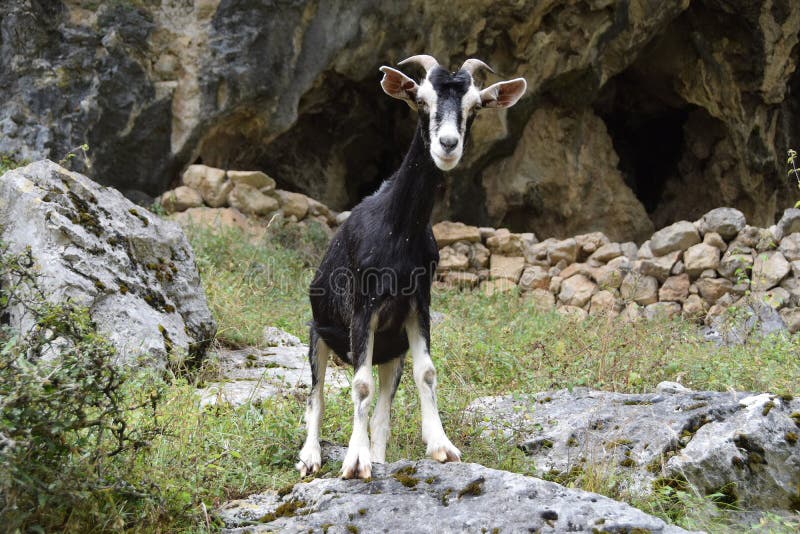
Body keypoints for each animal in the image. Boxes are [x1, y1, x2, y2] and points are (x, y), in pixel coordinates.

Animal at [297, 54, 527, 479]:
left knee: (383, 411)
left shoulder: (417, 303)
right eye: (420, 100)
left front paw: (440, 445)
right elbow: (360, 386)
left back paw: (380, 457)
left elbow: (427, 373)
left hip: (393, 352)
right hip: (317, 333)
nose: (448, 144)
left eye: (475, 106)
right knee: (315, 394)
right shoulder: (364, 307)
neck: (397, 230)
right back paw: (310, 457)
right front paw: (355, 461)